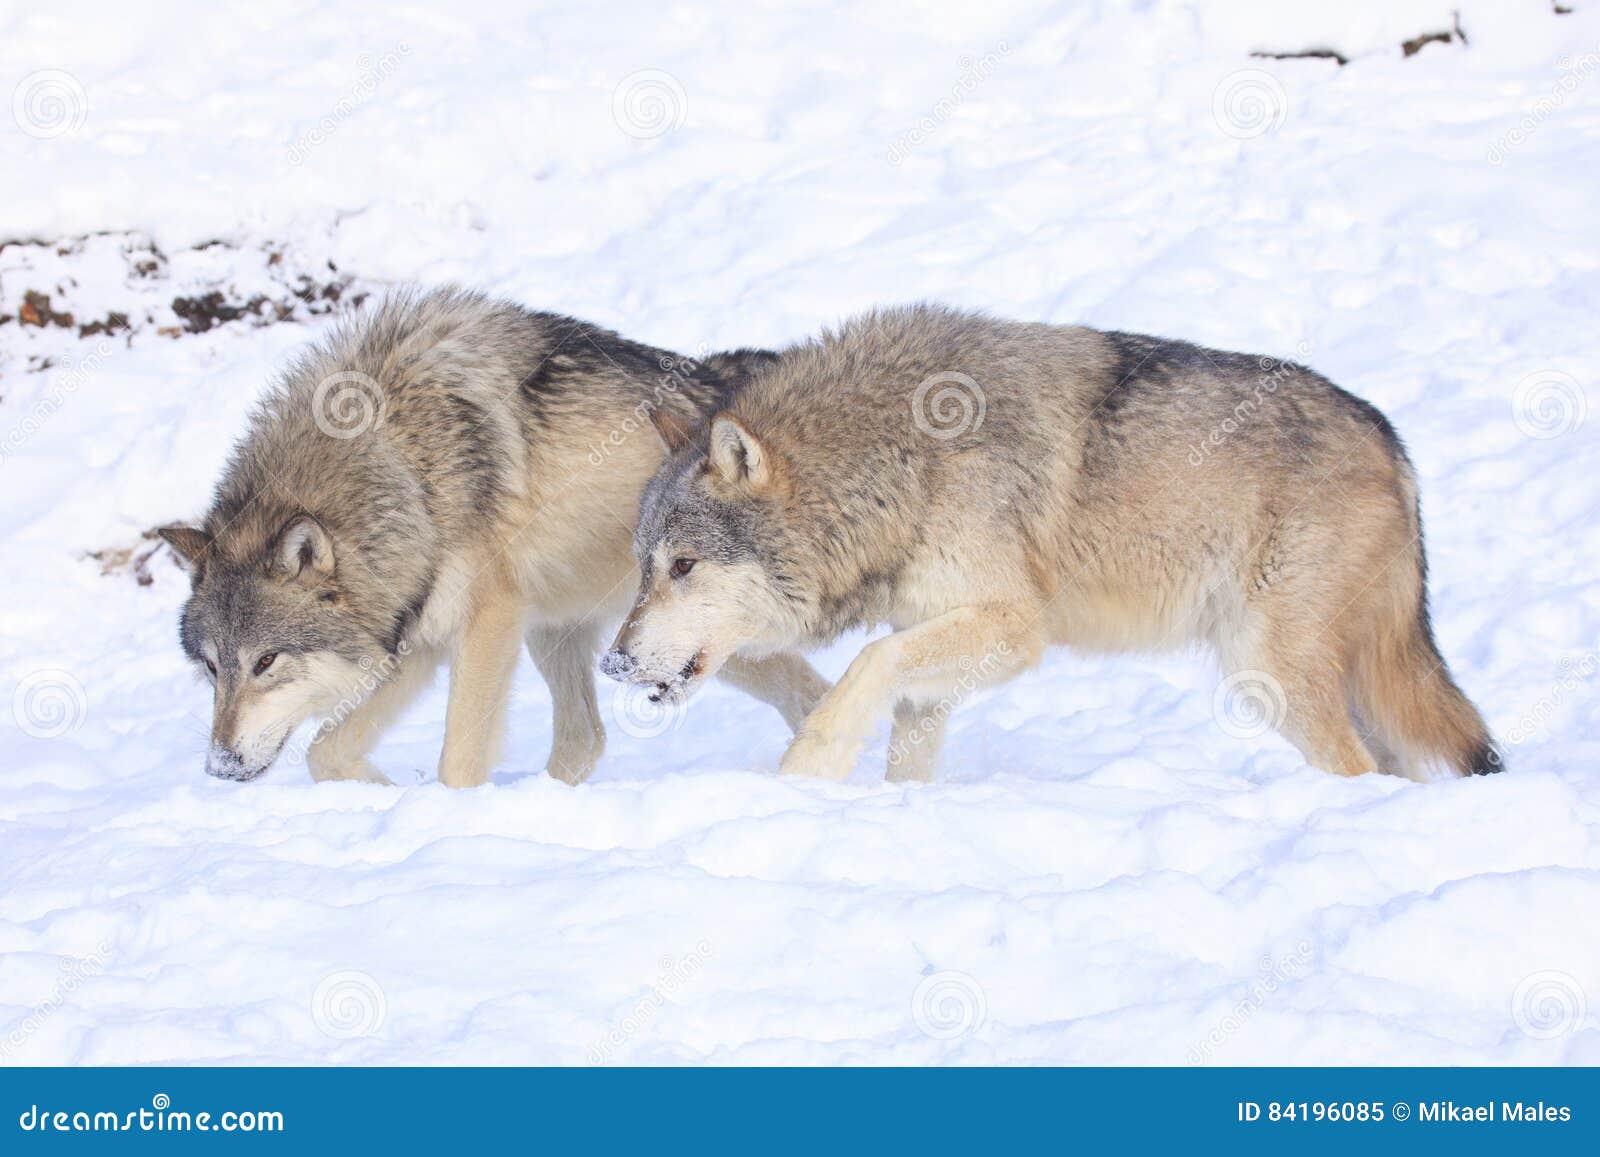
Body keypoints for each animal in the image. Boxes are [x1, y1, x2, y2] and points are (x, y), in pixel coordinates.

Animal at [159, 287, 827, 785]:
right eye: (212, 668)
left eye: (266, 661)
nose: (220, 767)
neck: (406, 468)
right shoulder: (415, 641)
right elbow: (326, 753)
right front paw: (380, 793)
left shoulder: (487, 619)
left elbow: (457, 759)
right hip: (587, 636)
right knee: (589, 738)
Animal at [601, 304, 1498, 783]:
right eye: (642, 566)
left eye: (683, 566)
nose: (612, 661)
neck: (900, 466)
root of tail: (1390, 437)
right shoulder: (932, 650)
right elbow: (905, 742)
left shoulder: (1013, 626)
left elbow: (863, 668)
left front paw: (804, 773)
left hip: (1270, 671)